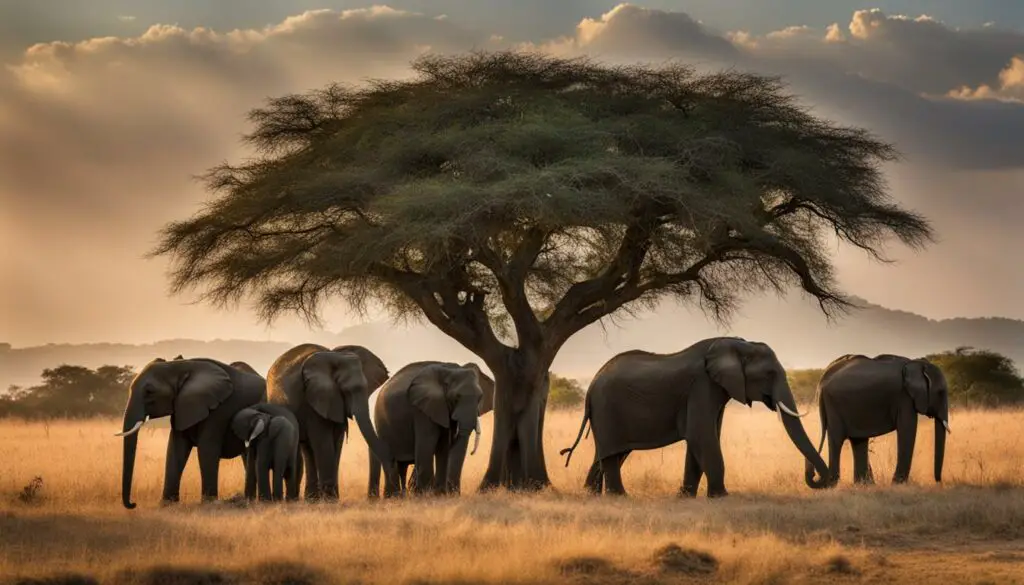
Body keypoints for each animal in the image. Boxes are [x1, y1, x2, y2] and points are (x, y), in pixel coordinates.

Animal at [115, 357, 265, 509]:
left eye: (149, 391)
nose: (133, 504)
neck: (182, 366)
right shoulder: (181, 407)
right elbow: (175, 448)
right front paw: (167, 504)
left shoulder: (219, 410)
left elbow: (207, 449)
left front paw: (209, 504)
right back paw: (249, 500)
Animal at [267, 343, 395, 501]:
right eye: (347, 390)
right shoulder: (317, 399)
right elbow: (323, 440)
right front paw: (329, 500)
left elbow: (337, 440)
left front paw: (332, 498)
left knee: (308, 448)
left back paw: (312, 499)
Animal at [367, 361, 491, 498]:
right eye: (456, 398)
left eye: (480, 397)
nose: (472, 453)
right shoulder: (423, 410)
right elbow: (427, 444)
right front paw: (425, 496)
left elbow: (444, 447)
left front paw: (440, 495)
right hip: (381, 423)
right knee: (391, 459)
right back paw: (393, 497)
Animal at [560, 337, 832, 497]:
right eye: (768, 373)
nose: (818, 478)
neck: (737, 344)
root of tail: (591, 386)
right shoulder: (702, 386)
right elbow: (701, 436)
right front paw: (720, 496)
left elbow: (701, 438)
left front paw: (685, 496)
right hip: (608, 410)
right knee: (612, 455)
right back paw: (619, 496)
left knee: (612, 452)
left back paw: (591, 494)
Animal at [810, 353, 950, 485]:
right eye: (940, 392)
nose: (938, 481)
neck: (917, 364)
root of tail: (822, 382)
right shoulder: (904, 398)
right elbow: (907, 428)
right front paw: (897, 484)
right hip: (835, 406)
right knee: (837, 440)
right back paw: (833, 484)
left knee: (858, 440)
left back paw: (865, 485)